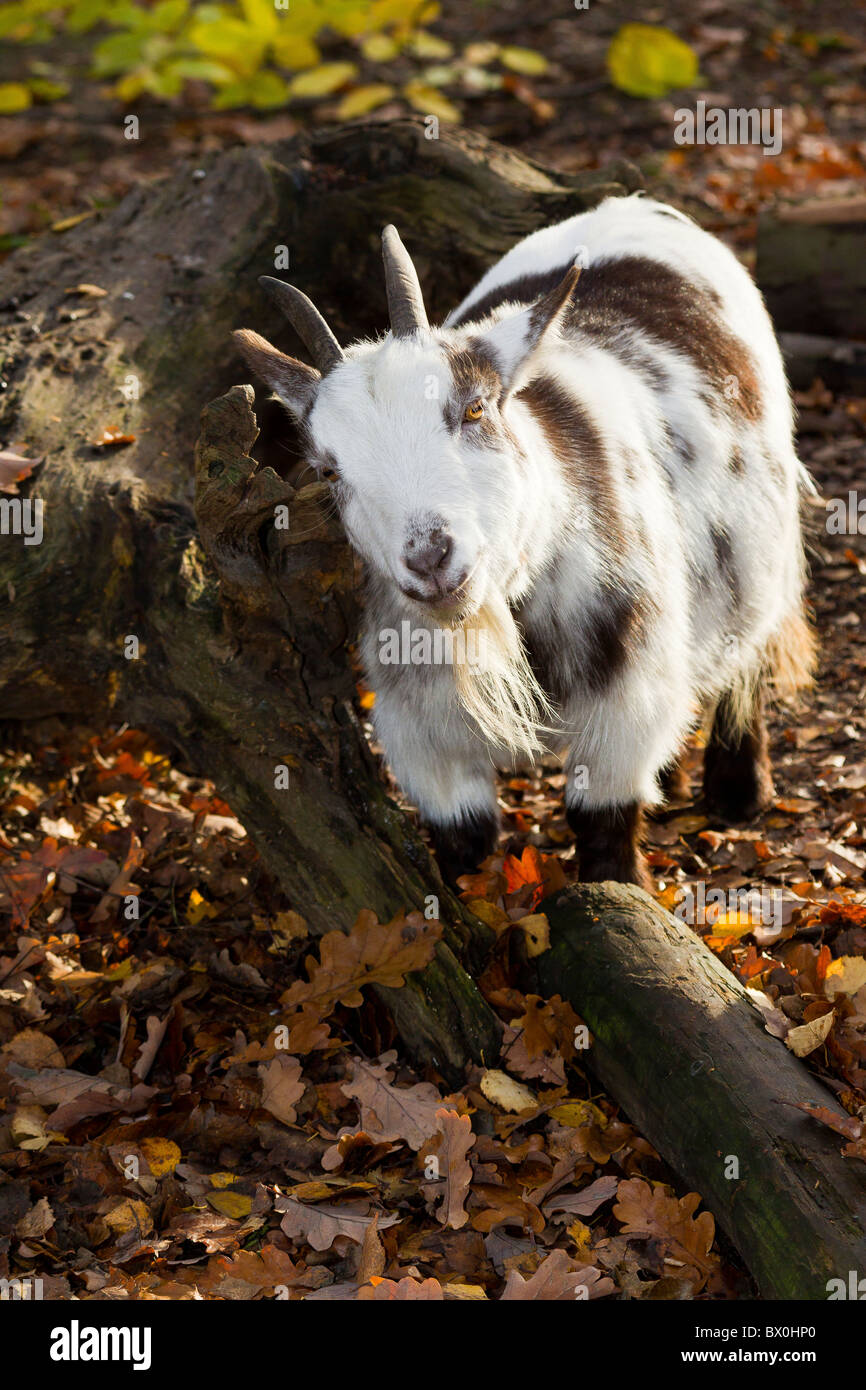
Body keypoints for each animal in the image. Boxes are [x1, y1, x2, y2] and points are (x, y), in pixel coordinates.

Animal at [234, 196, 815, 888]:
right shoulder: (423, 733)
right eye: (328, 470)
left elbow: (604, 831)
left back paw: (738, 792)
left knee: (747, 653)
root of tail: (635, 204)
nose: (430, 558)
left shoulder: (626, 706)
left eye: (475, 409)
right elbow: (464, 844)